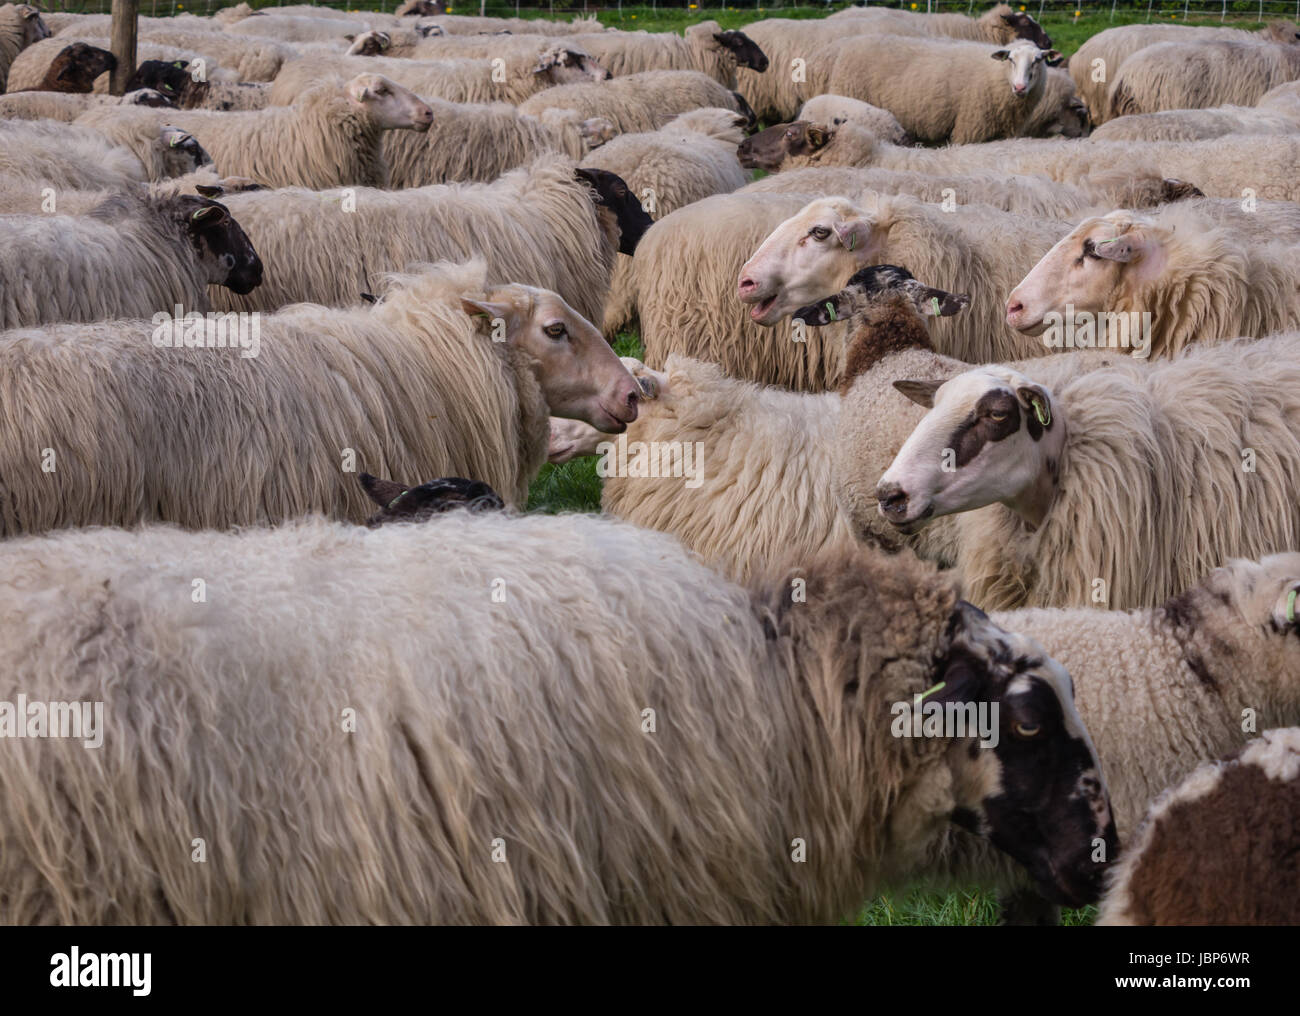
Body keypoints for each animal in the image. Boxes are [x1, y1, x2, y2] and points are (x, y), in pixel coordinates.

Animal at [822, 36, 1061, 145]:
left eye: (1038, 60)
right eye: (1011, 59)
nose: (1020, 87)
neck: (996, 74)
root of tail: (847, 45)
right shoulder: (970, 128)